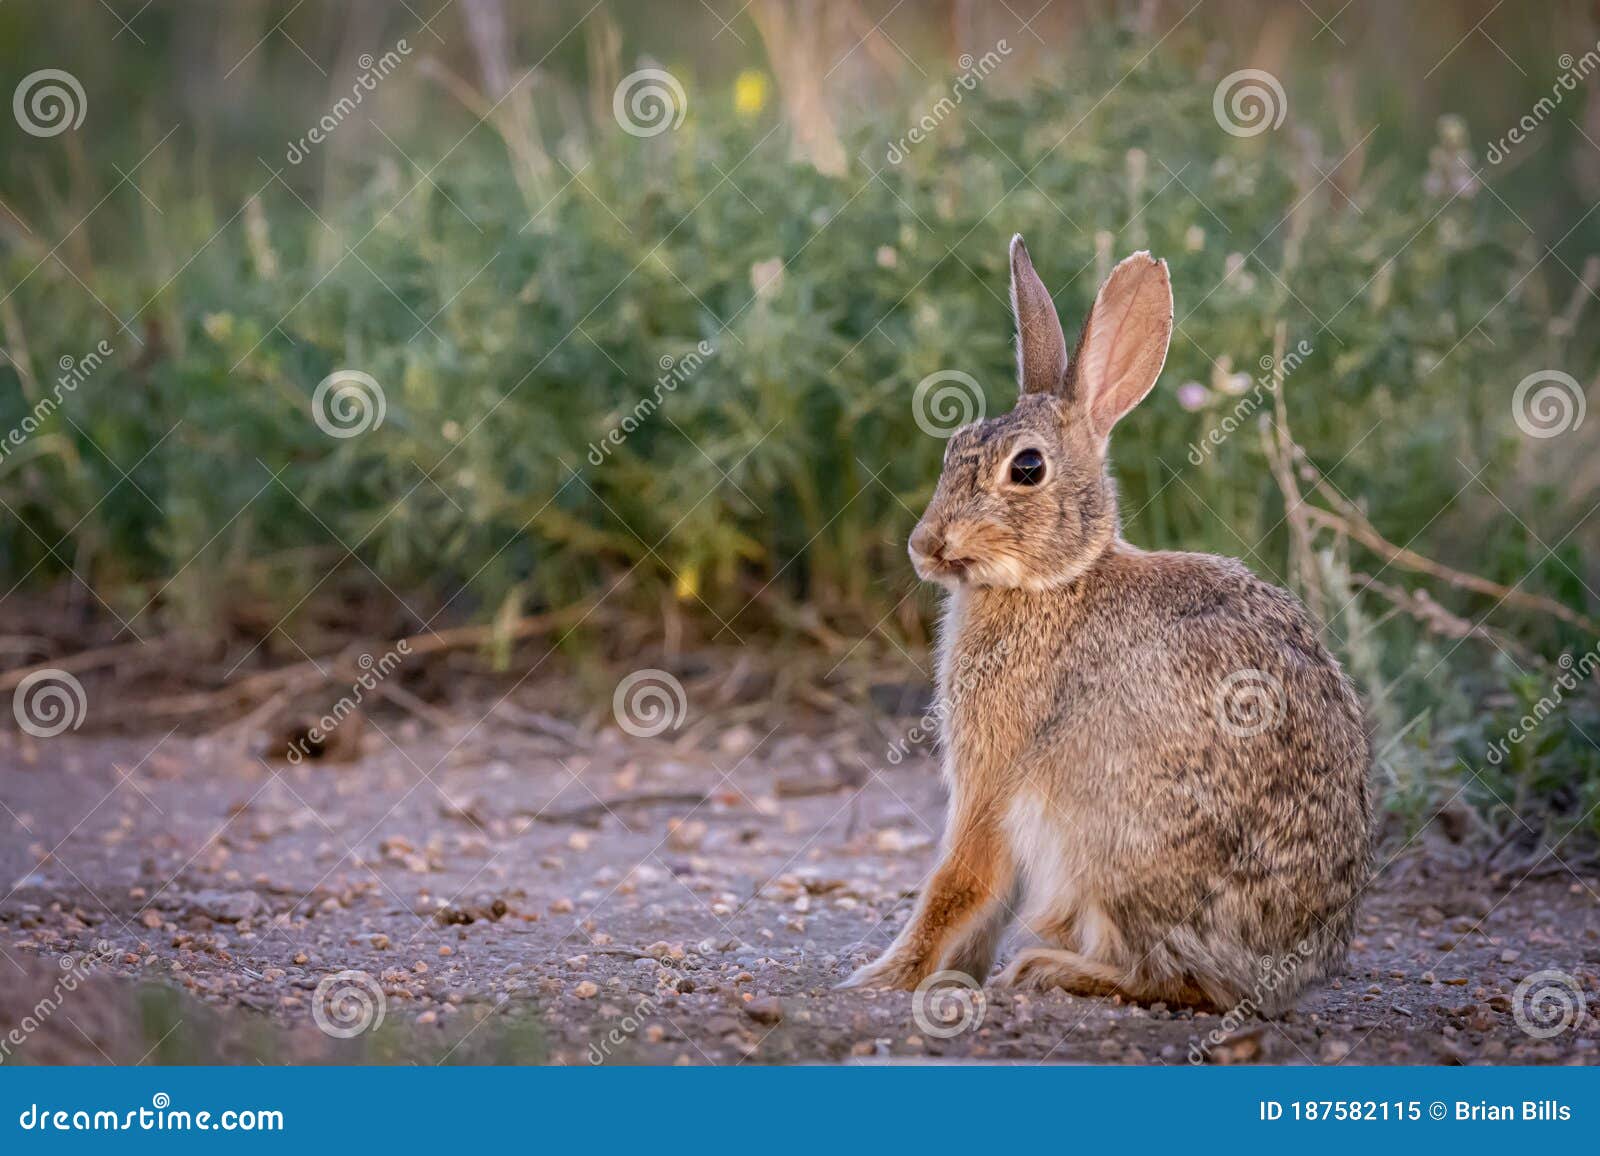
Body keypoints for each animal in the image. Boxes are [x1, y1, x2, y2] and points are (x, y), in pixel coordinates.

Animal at [840, 237, 1371, 1014]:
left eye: (1027, 467)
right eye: (953, 446)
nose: (925, 546)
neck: (1061, 578)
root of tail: (1278, 971)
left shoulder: (994, 774)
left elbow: (961, 879)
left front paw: (884, 978)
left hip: (1109, 847)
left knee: (1174, 978)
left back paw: (1049, 970)